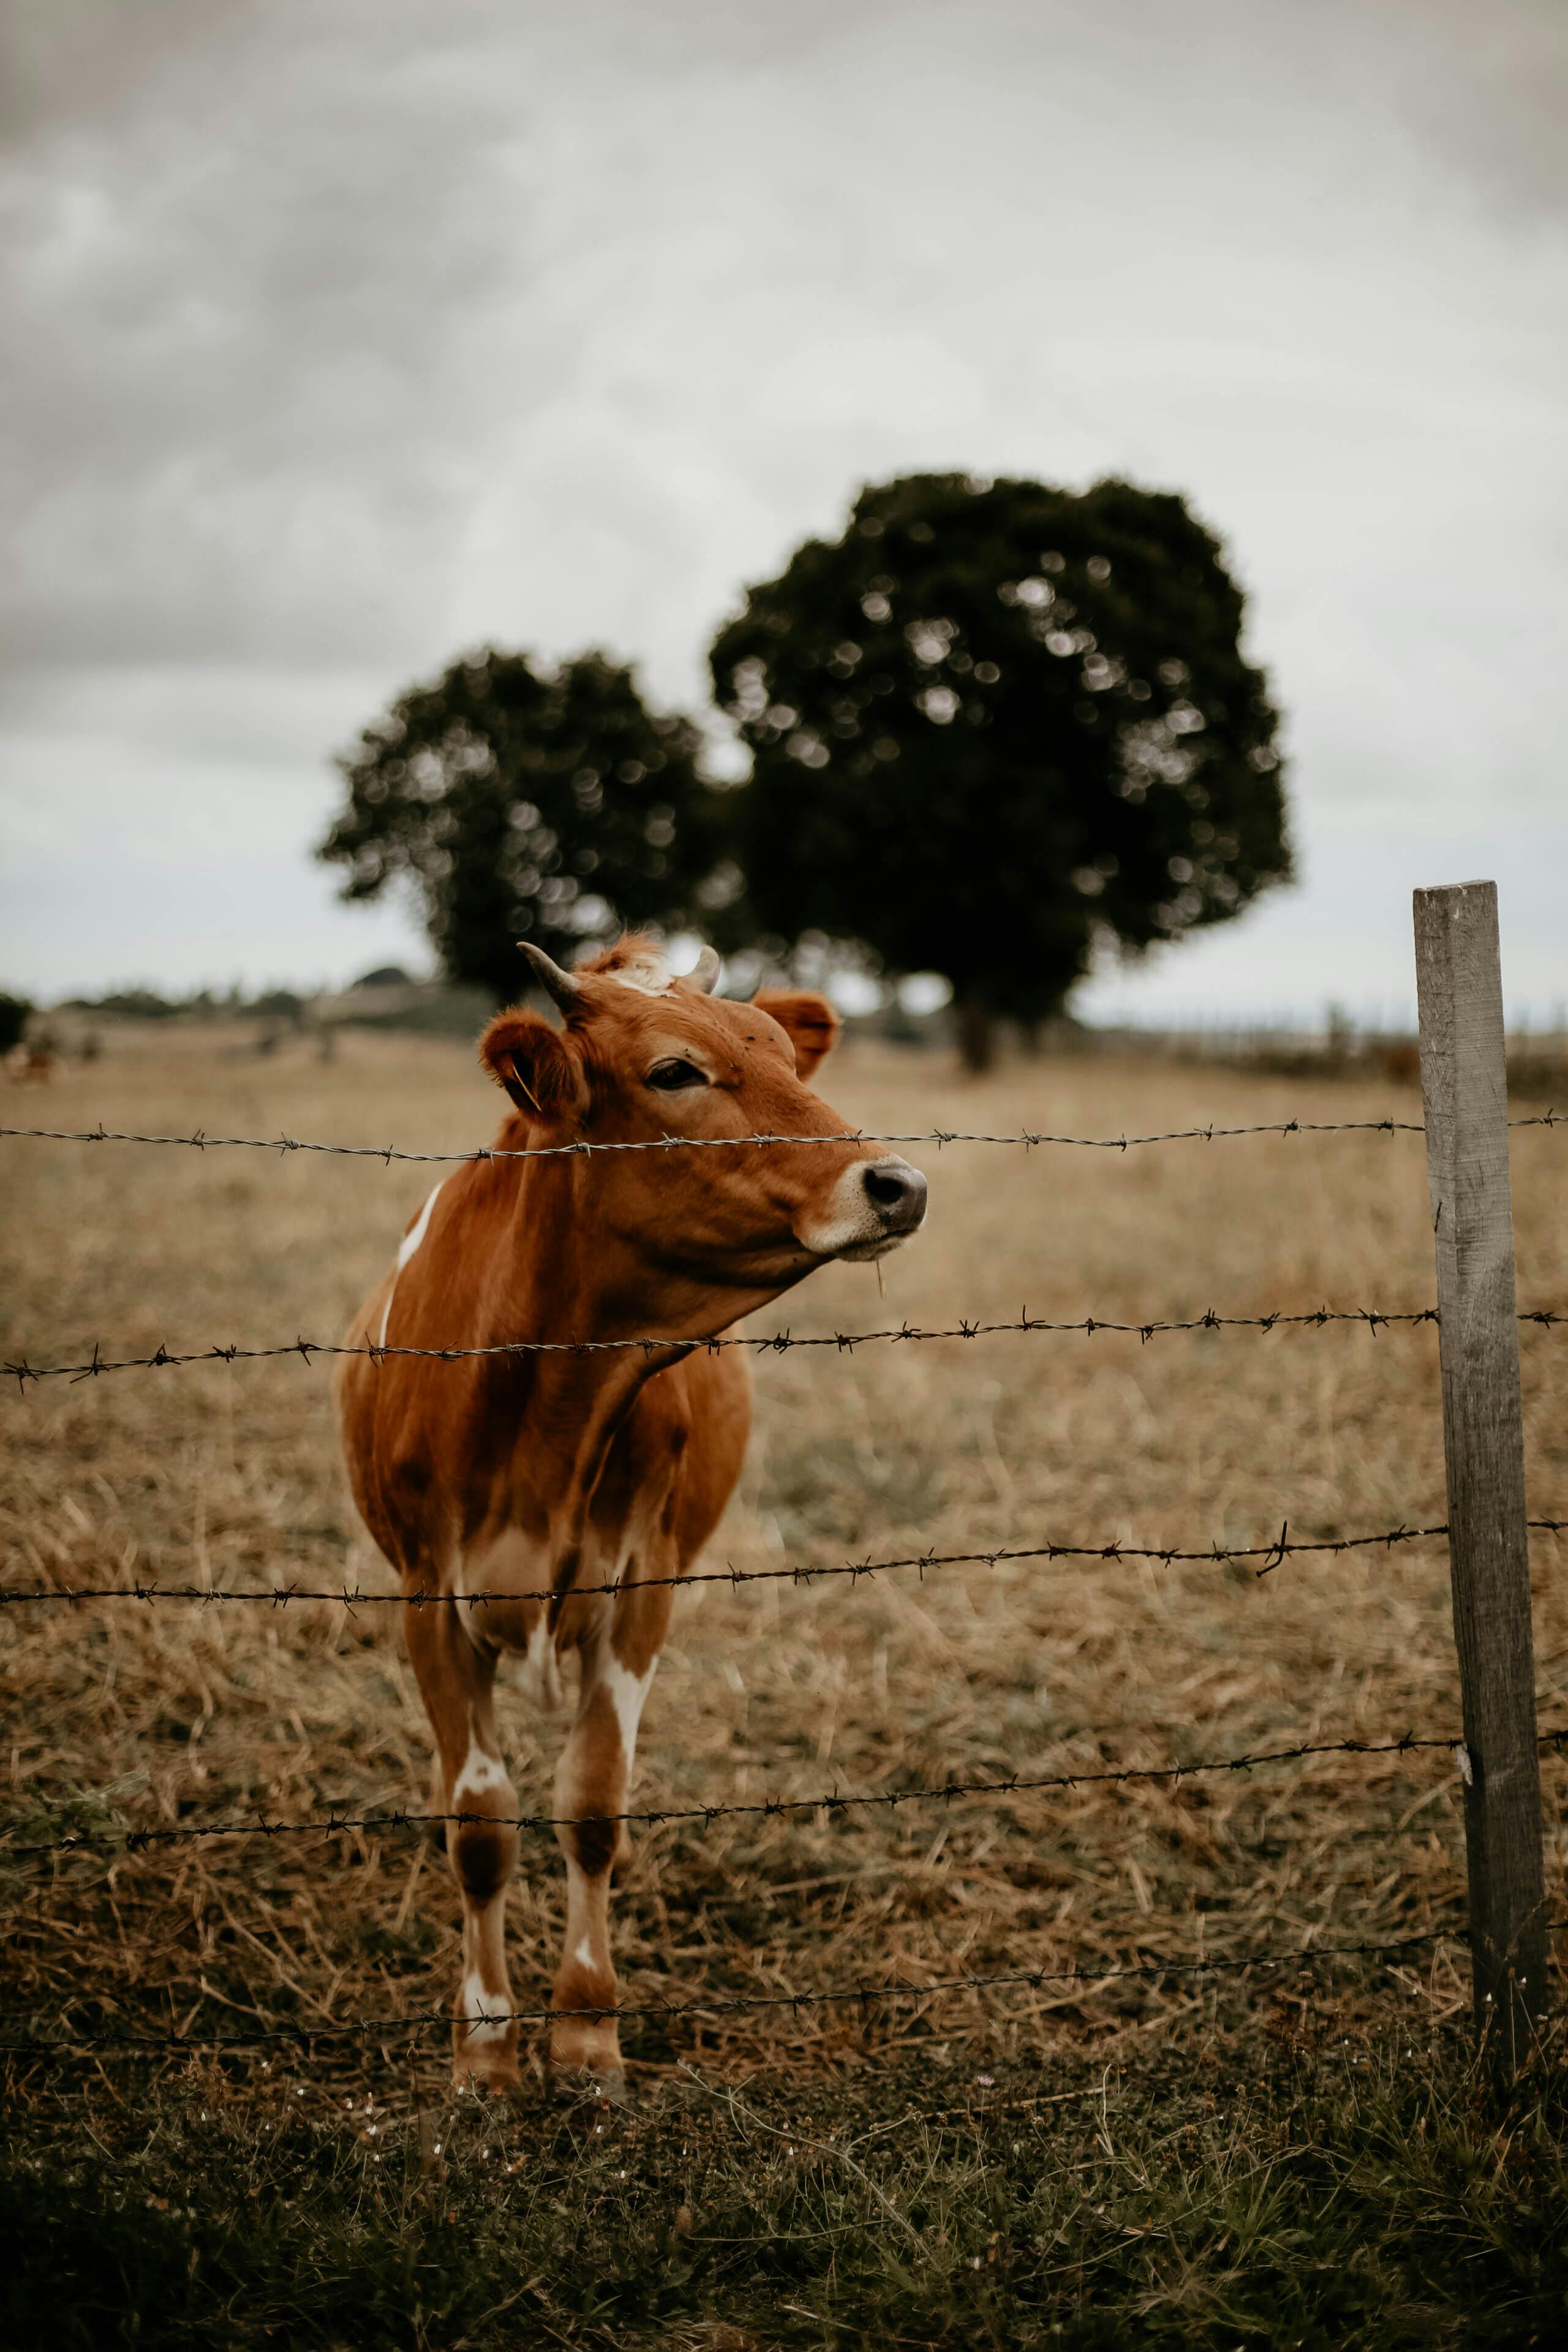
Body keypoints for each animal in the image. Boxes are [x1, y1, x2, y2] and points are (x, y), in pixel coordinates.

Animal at [334, 935, 928, 2099]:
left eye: (784, 1051)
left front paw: (585, 2033)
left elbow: (593, 1805)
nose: (897, 1184)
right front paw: (485, 2048)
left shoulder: (638, 1589)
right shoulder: (428, 1600)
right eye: (675, 1072)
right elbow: (480, 1827)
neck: (542, 1401)